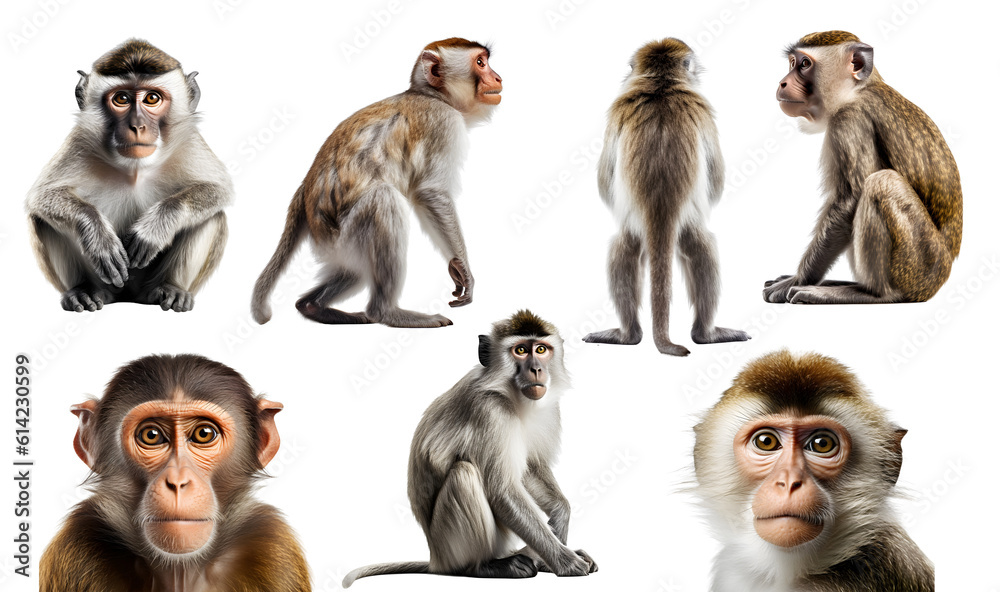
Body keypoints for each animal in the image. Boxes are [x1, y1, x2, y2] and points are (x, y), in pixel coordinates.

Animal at [26, 39, 232, 313]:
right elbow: (41, 196)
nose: (136, 125)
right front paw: (99, 238)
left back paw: (172, 288)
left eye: (152, 98)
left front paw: (155, 228)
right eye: (121, 98)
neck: (134, 169)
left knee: (213, 216)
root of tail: (129, 296)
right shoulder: (78, 142)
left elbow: (219, 188)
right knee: (41, 218)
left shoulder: (190, 141)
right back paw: (83, 291)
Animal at [251, 37, 502, 328]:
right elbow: (431, 193)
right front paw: (464, 268)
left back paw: (314, 306)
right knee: (384, 200)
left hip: (339, 249)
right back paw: (387, 312)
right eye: (480, 62)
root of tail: (303, 197)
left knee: (354, 271)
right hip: (344, 239)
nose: (497, 77)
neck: (431, 95)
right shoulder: (444, 123)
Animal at [343, 310, 597, 586]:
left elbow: (530, 467)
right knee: (463, 474)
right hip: (450, 544)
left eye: (541, 349)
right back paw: (483, 567)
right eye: (520, 350)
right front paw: (565, 561)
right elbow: (502, 491)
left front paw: (560, 522)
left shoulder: (547, 408)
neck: (511, 397)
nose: (537, 369)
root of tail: (436, 560)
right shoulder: (490, 411)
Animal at [583, 39, 749, 356]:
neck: (661, 85)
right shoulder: (702, 109)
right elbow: (716, 183)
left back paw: (633, 335)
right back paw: (703, 333)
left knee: (626, 247)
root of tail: (660, 206)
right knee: (700, 244)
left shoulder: (619, 108)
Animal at [765, 30, 962, 304]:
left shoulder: (850, 122)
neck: (856, 91)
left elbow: (850, 200)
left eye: (804, 64)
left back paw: (873, 293)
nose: (783, 82)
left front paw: (798, 280)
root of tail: (943, 274)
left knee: (882, 183)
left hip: (919, 269)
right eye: (792, 63)